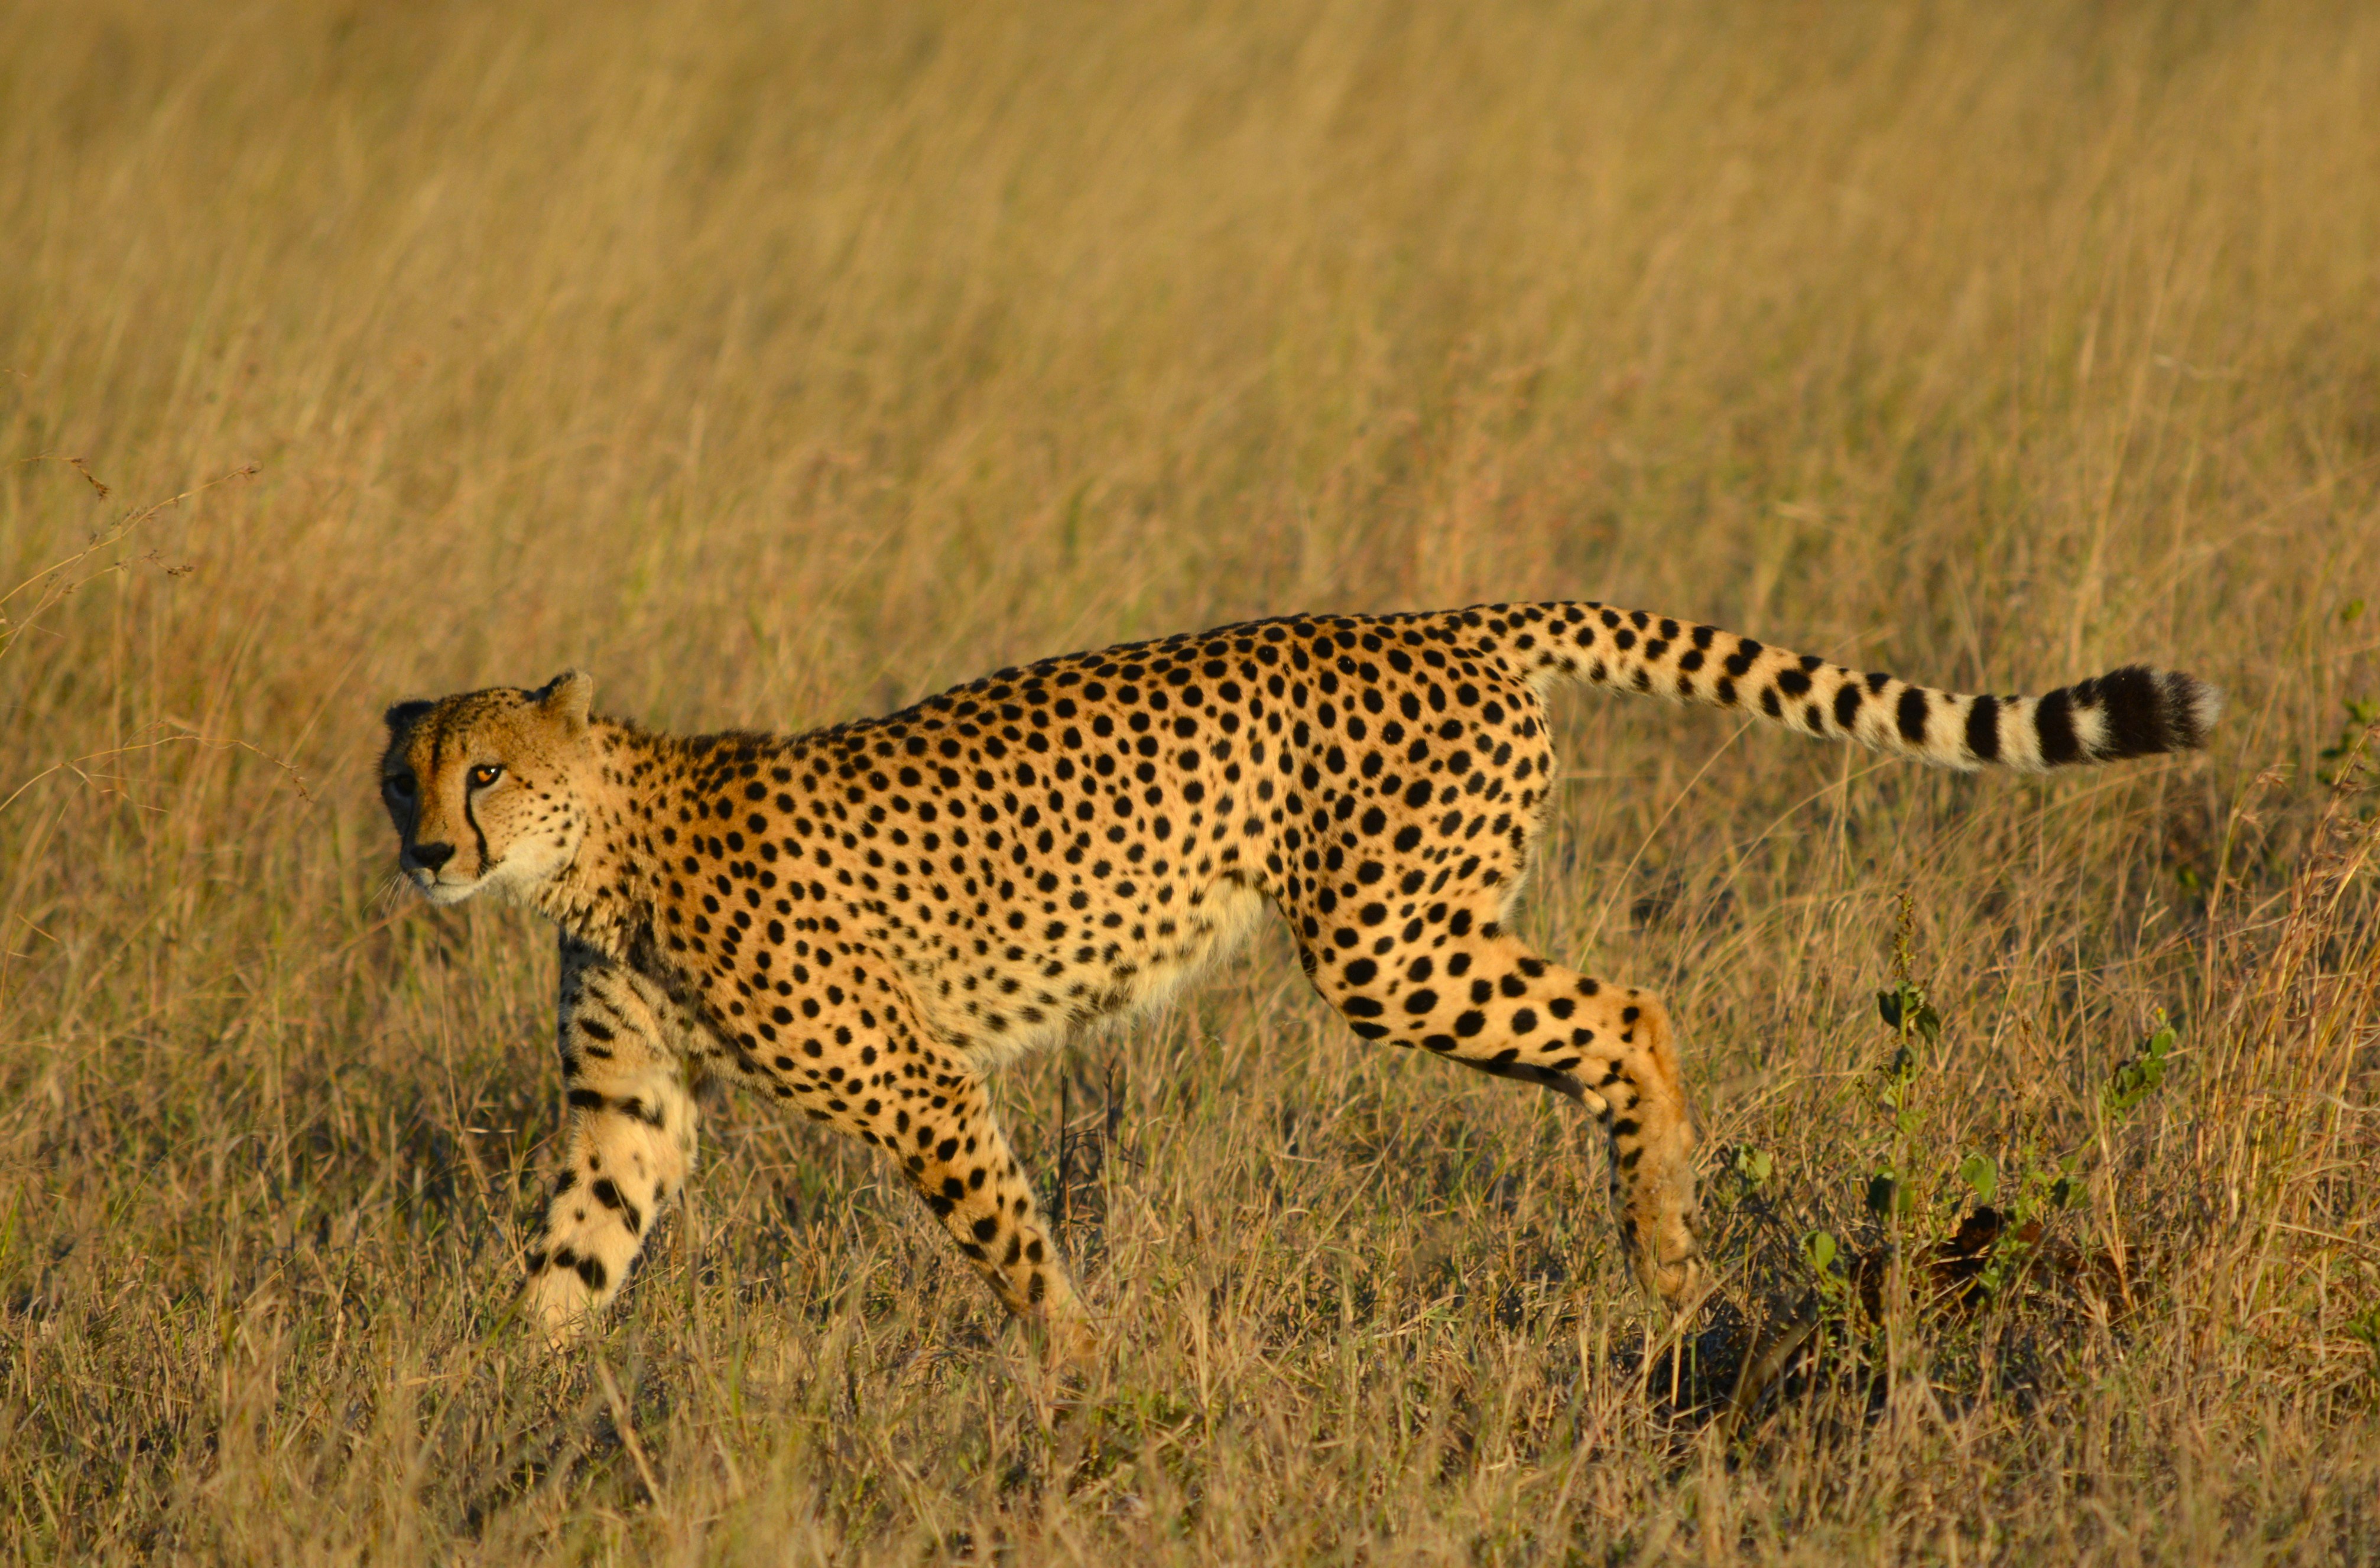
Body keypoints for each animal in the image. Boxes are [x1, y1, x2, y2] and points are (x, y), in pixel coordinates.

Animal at [379, 601, 2219, 1353]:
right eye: (406, 778)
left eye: (491, 774)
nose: (428, 855)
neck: (603, 839)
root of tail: (1452, 617)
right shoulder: (631, 1108)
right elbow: (572, 1257)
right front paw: (500, 1394)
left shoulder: (917, 1084)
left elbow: (1013, 1247)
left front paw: (1084, 1377)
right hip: (1412, 939)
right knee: (1622, 1015)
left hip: (1390, 948)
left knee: (1631, 1010)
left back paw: (1667, 1248)